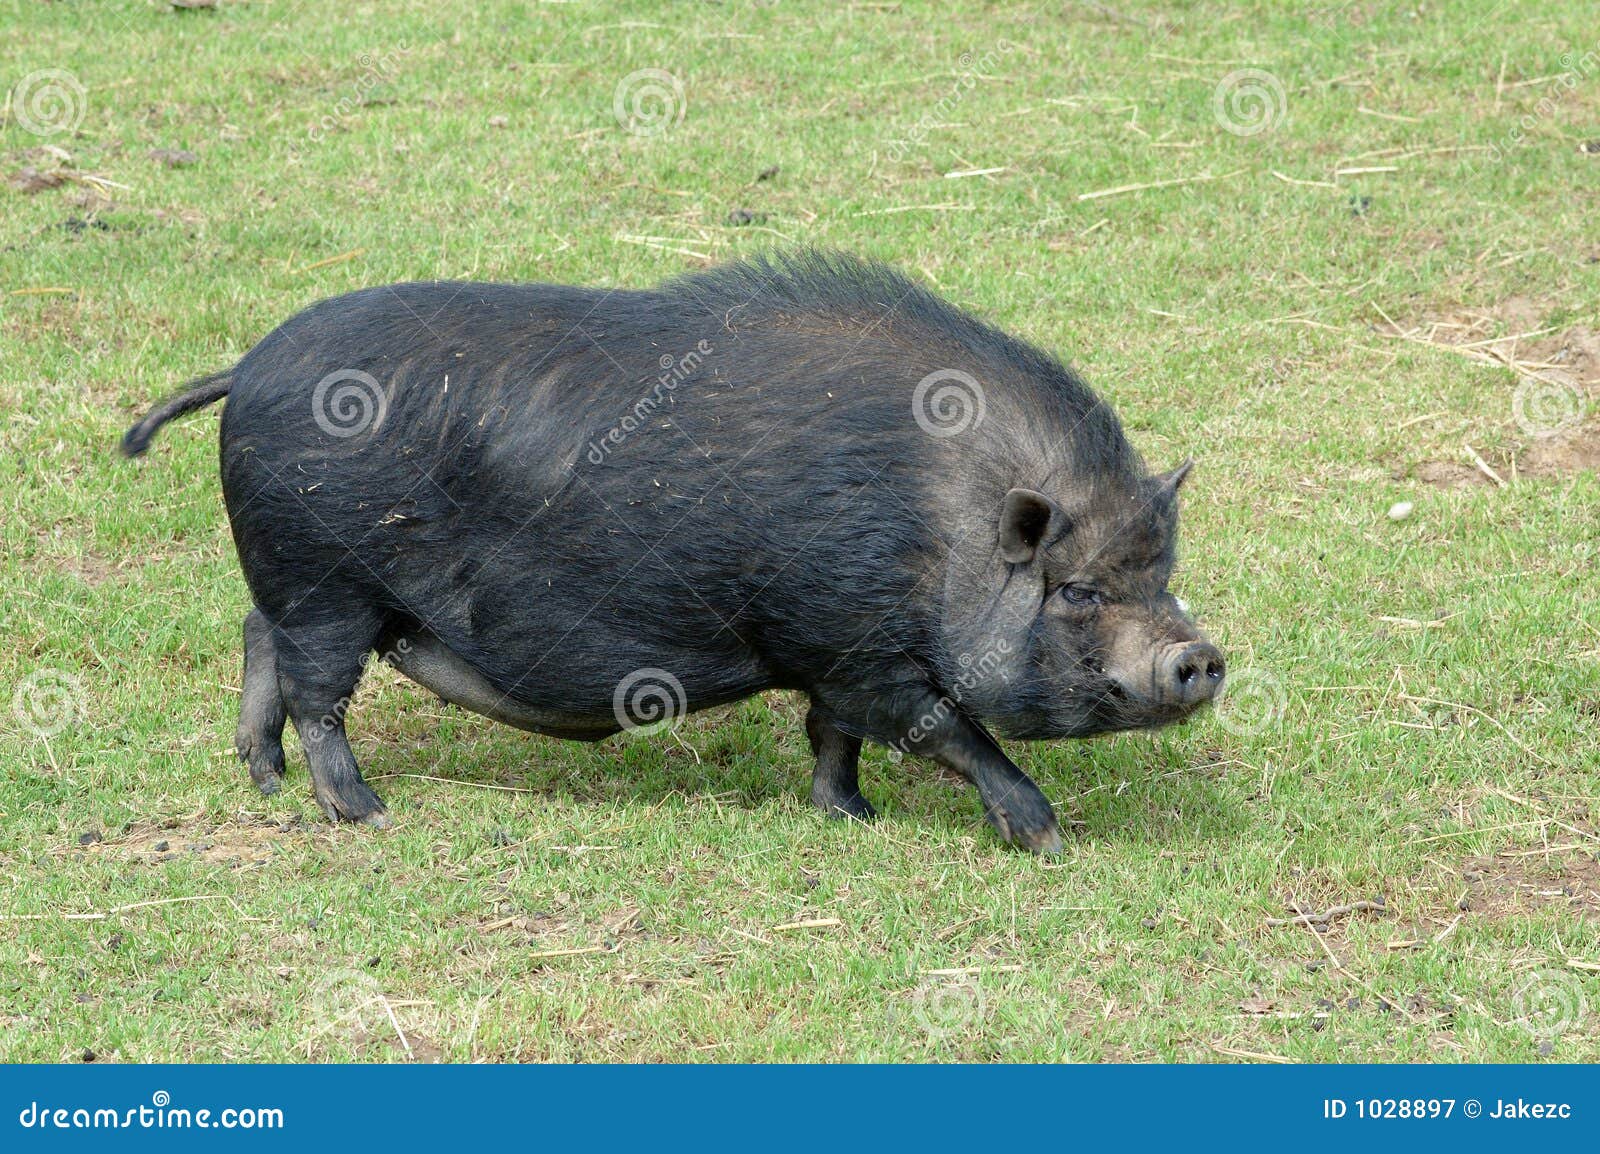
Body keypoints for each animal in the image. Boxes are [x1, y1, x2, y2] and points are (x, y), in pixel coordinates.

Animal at [121, 251, 1224, 852]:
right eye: (1078, 590)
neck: (945, 518)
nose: (1201, 656)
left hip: (299, 582)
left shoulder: (830, 649)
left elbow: (831, 735)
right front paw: (1044, 834)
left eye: (1161, 573)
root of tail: (246, 367)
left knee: (255, 639)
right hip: (325, 581)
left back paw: (262, 781)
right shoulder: (859, 643)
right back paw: (364, 812)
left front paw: (849, 816)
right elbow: (943, 728)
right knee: (317, 693)